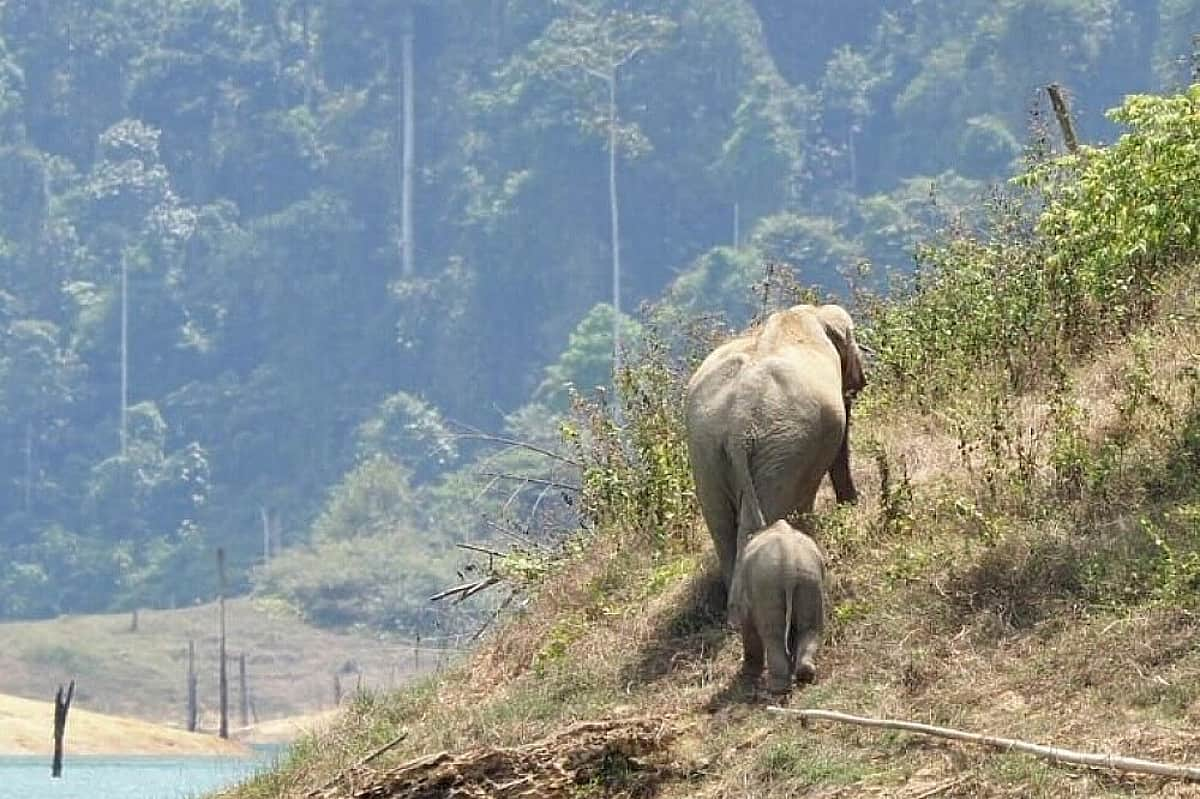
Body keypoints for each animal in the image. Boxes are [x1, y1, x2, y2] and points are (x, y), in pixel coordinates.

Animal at [724, 515, 830, 691]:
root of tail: (789, 564)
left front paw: (747, 674)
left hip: (769, 584)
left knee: (773, 634)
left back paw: (777, 687)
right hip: (809, 580)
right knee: (810, 627)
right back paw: (804, 674)